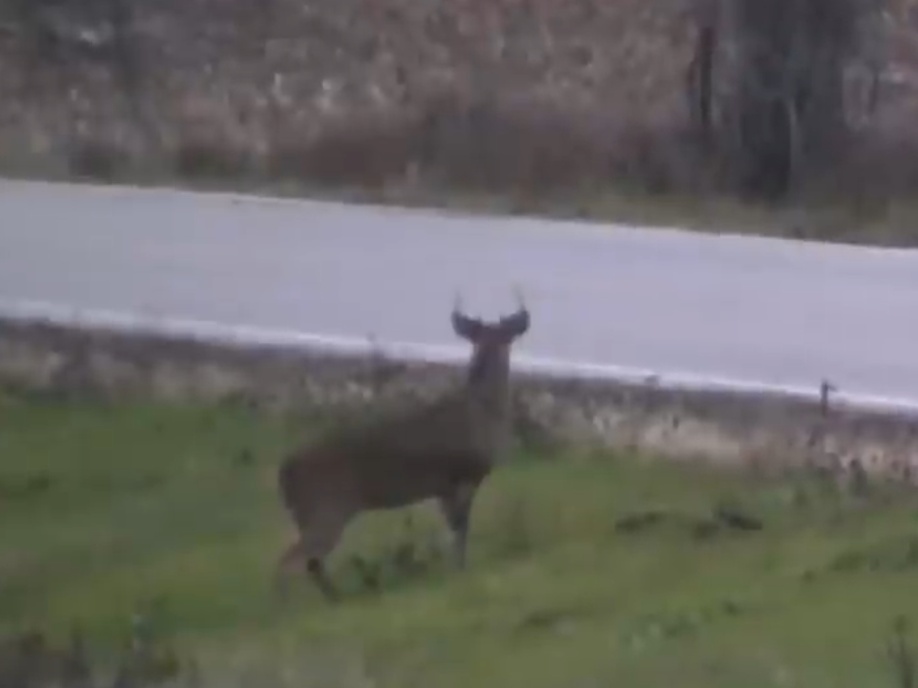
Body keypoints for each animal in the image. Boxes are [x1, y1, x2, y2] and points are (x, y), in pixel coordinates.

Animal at [274, 290, 531, 602]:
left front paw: (454, 571)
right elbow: (461, 531)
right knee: (290, 562)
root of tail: (285, 471)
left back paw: (335, 599)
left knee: (309, 563)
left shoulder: (444, 487)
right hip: (326, 507)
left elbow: (455, 531)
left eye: (499, 336)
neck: (482, 411)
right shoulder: (464, 475)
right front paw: (461, 573)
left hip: (309, 514)